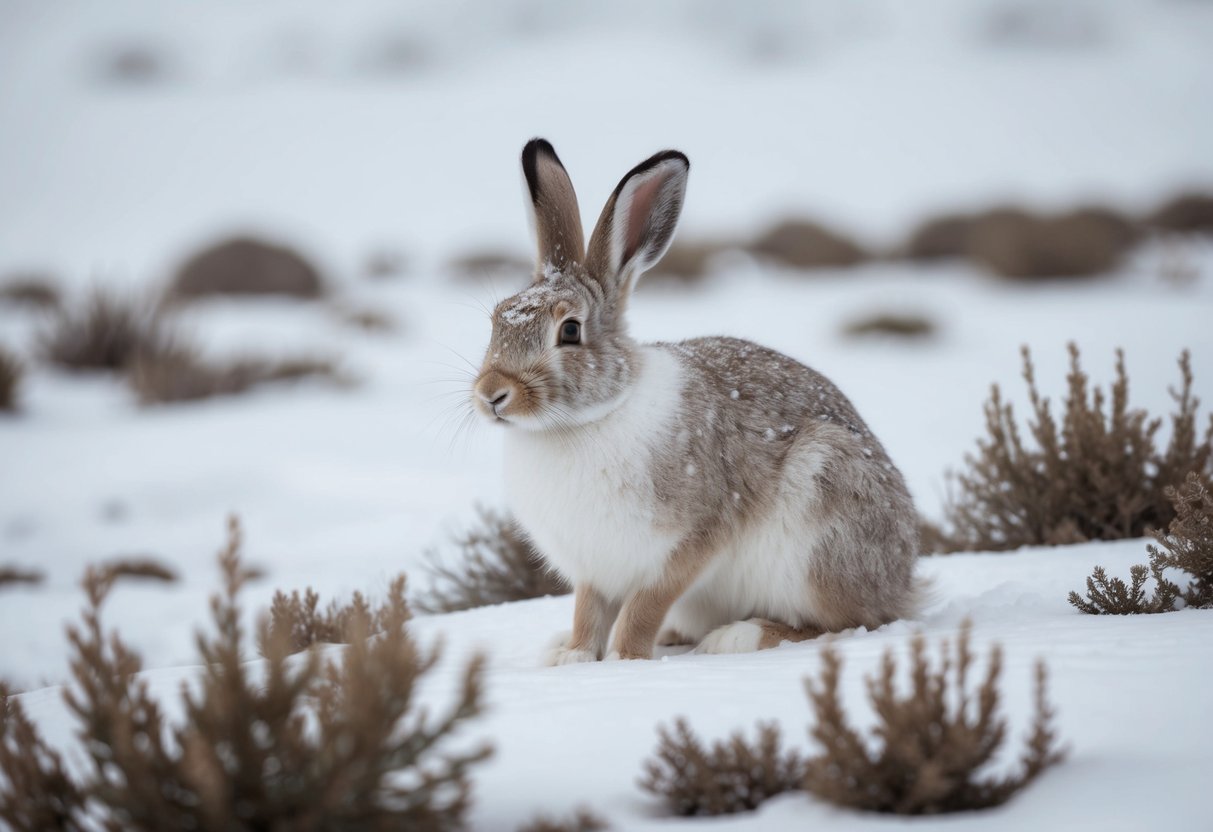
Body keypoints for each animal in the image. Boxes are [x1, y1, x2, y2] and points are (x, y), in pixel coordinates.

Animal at [471, 138, 922, 664]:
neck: (587, 419)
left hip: (823, 530)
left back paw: (737, 637)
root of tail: (902, 580)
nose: (491, 394)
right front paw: (574, 656)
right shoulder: (594, 568)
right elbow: (588, 610)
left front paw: (625, 659)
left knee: (849, 622)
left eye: (570, 331)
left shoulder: (693, 541)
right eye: (497, 319)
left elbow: (645, 604)